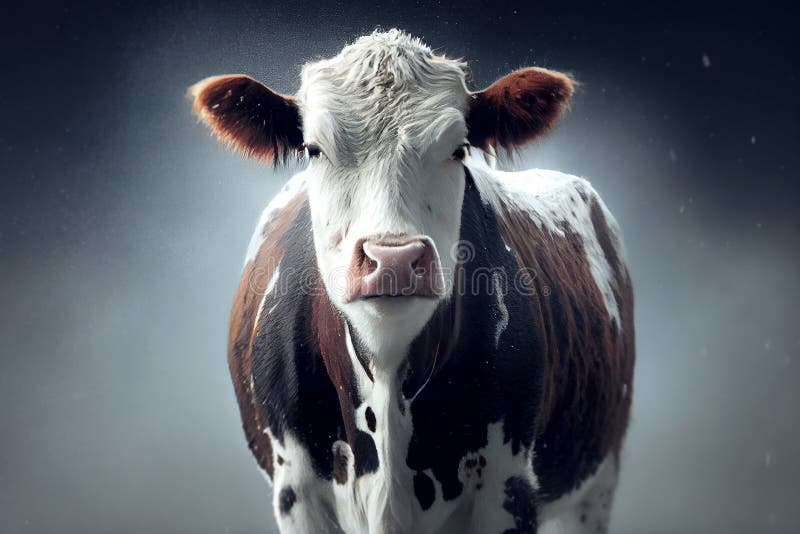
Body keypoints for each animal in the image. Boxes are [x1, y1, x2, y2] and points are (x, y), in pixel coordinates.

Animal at [190, 29, 634, 534]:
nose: (394, 259)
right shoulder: (296, 493)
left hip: (595, 488)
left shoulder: (508, 491)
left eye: (458, 149)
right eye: (314, 149)